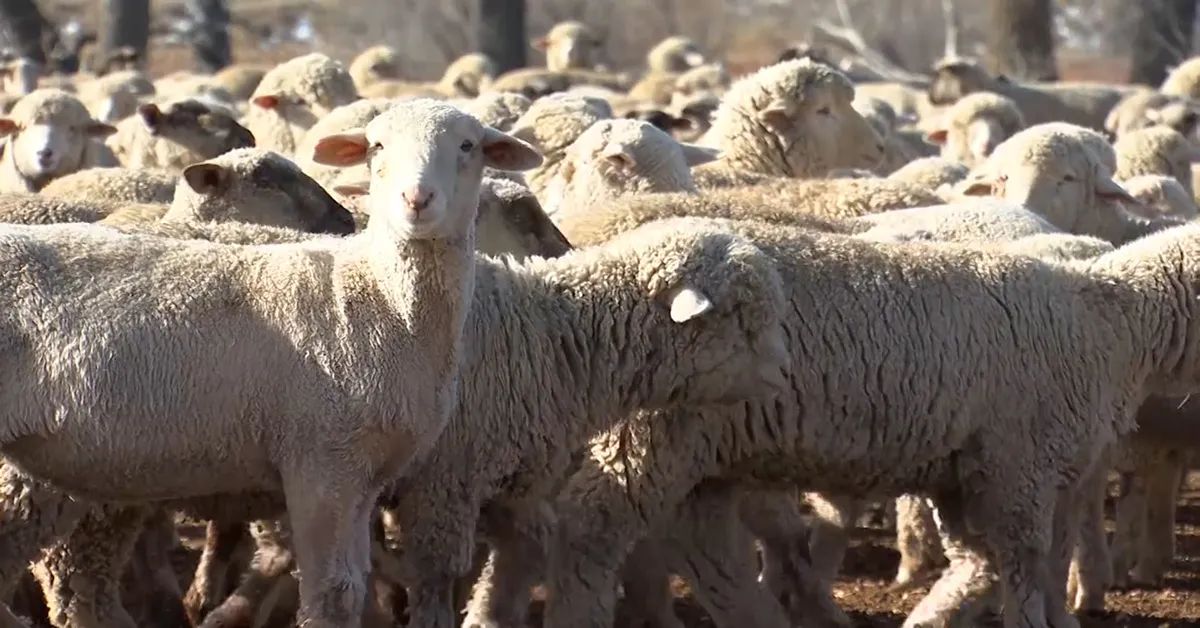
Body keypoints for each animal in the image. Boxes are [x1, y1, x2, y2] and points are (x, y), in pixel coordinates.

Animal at [541, 215, 1200, 628]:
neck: (1115, 319)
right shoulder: (1021, 467)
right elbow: (1022, 568)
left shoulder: (971, 470)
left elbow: (980, 563)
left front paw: (930, 619)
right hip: (648, 438)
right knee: (589, 536)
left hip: (701, 455)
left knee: (711, 558)